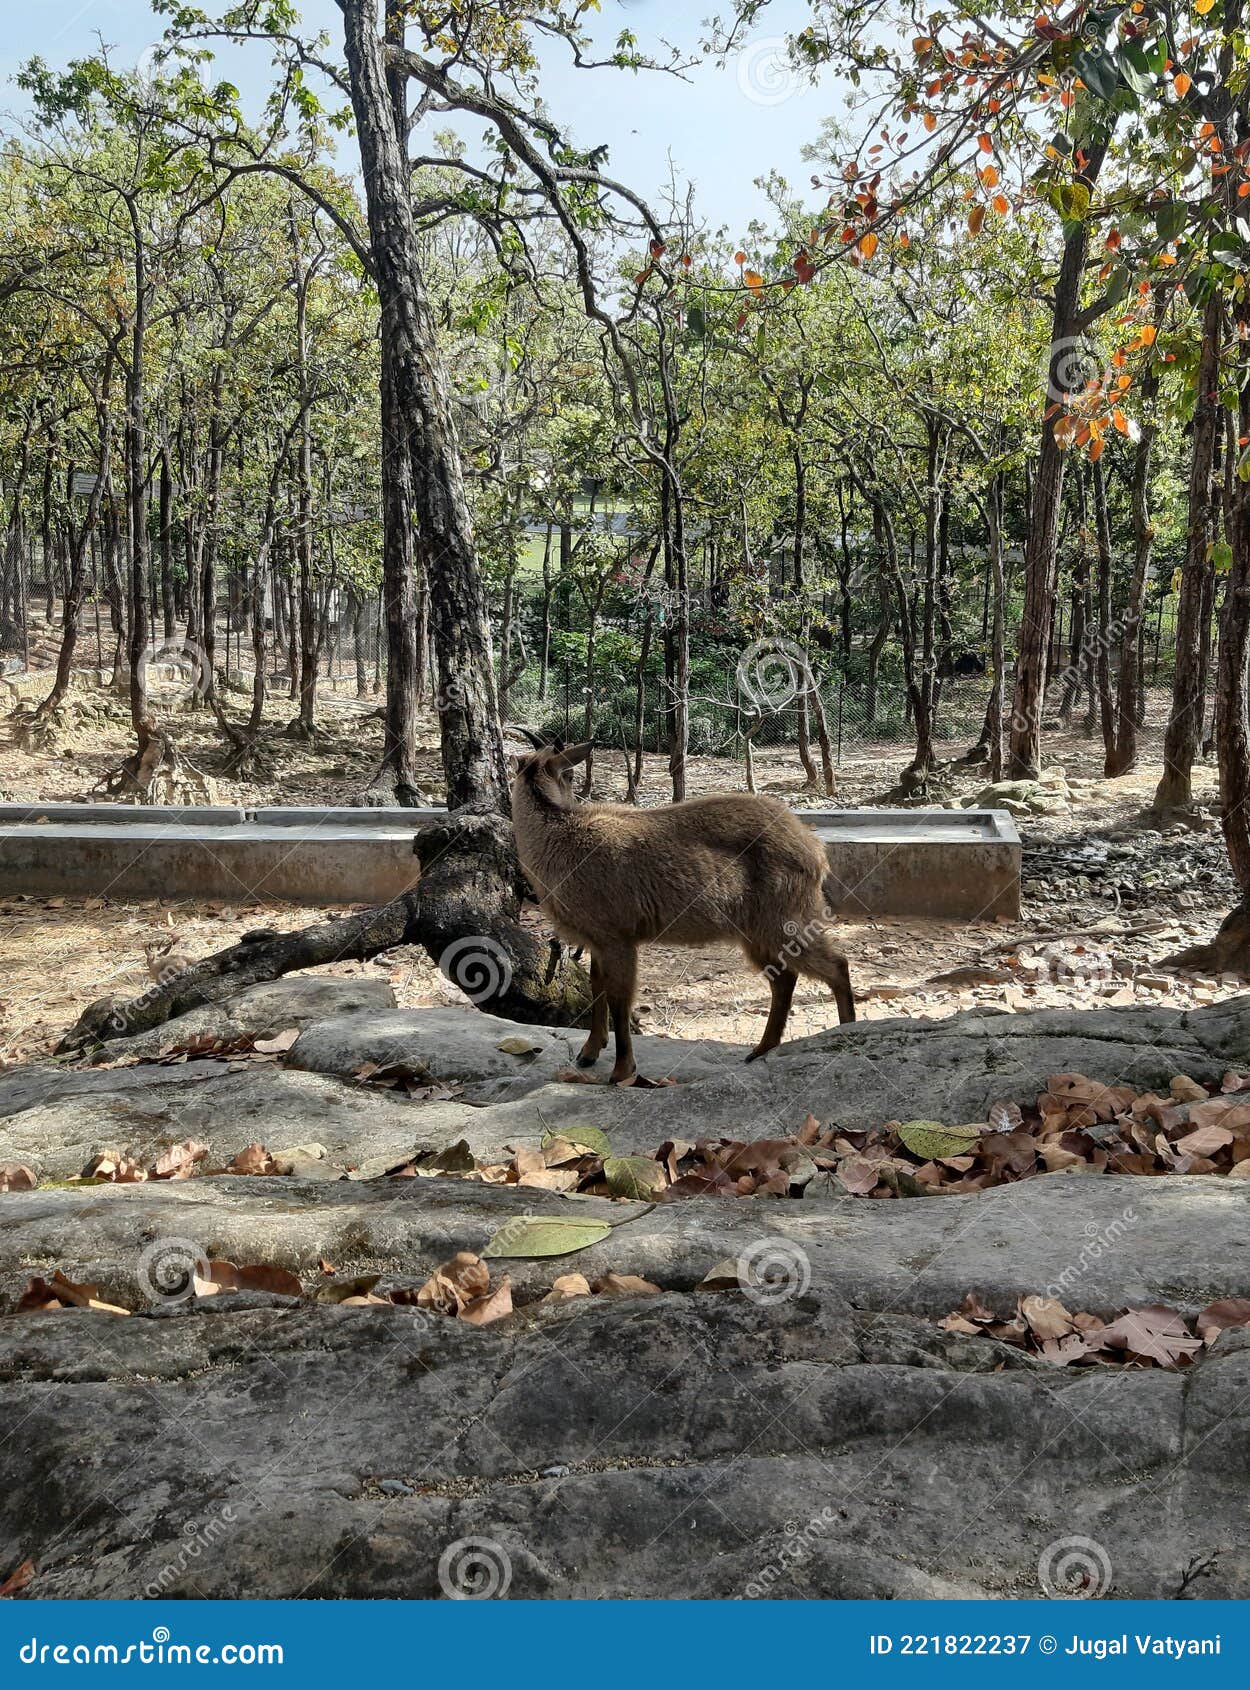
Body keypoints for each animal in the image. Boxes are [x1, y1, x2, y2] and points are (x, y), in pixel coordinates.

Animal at [510, 738, 855, 1085]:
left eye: (568, 775)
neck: (563, 837)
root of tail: (815, 850)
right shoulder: (597, 940)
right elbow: (597, 987)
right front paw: (589, 1053)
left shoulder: (618, 939)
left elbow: (619, 999)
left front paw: (622, 1071)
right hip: (757, 934)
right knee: (784, 977)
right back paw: (760, 1050)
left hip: (783, 921)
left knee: (836, 964)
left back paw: (847, 1032)